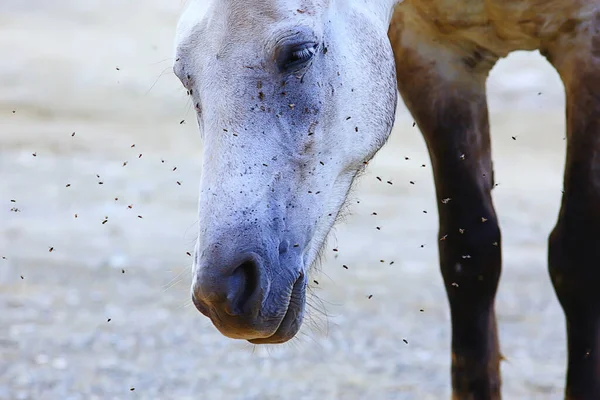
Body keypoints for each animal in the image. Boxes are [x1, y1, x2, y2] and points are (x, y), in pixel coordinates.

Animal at [172, 1, 600, 398]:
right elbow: (470, 257)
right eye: (185, 77)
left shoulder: (588, 48)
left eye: (300, 53)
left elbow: (577, 261)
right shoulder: (432, 55)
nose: (223, 292)